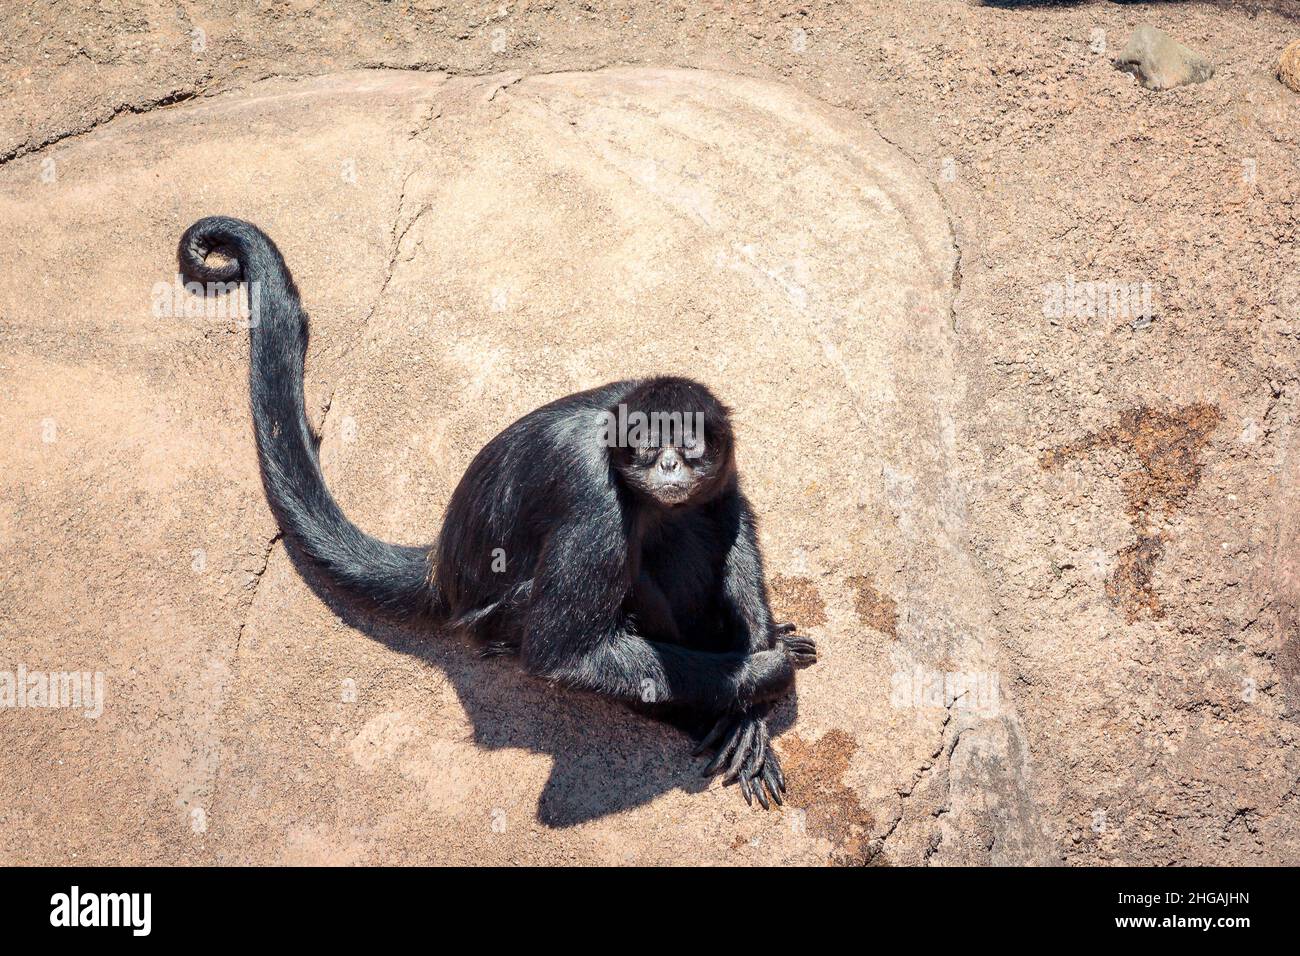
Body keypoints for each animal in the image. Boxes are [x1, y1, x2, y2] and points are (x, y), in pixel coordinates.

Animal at [178, 216, 816, 808]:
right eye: (643, 446)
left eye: (686, 449)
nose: (666, 467)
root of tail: (444, 567)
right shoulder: (593, 496)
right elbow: (565, 652)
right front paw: (758, 676)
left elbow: (729, 514)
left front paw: (756, 667)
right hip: (504, 611)